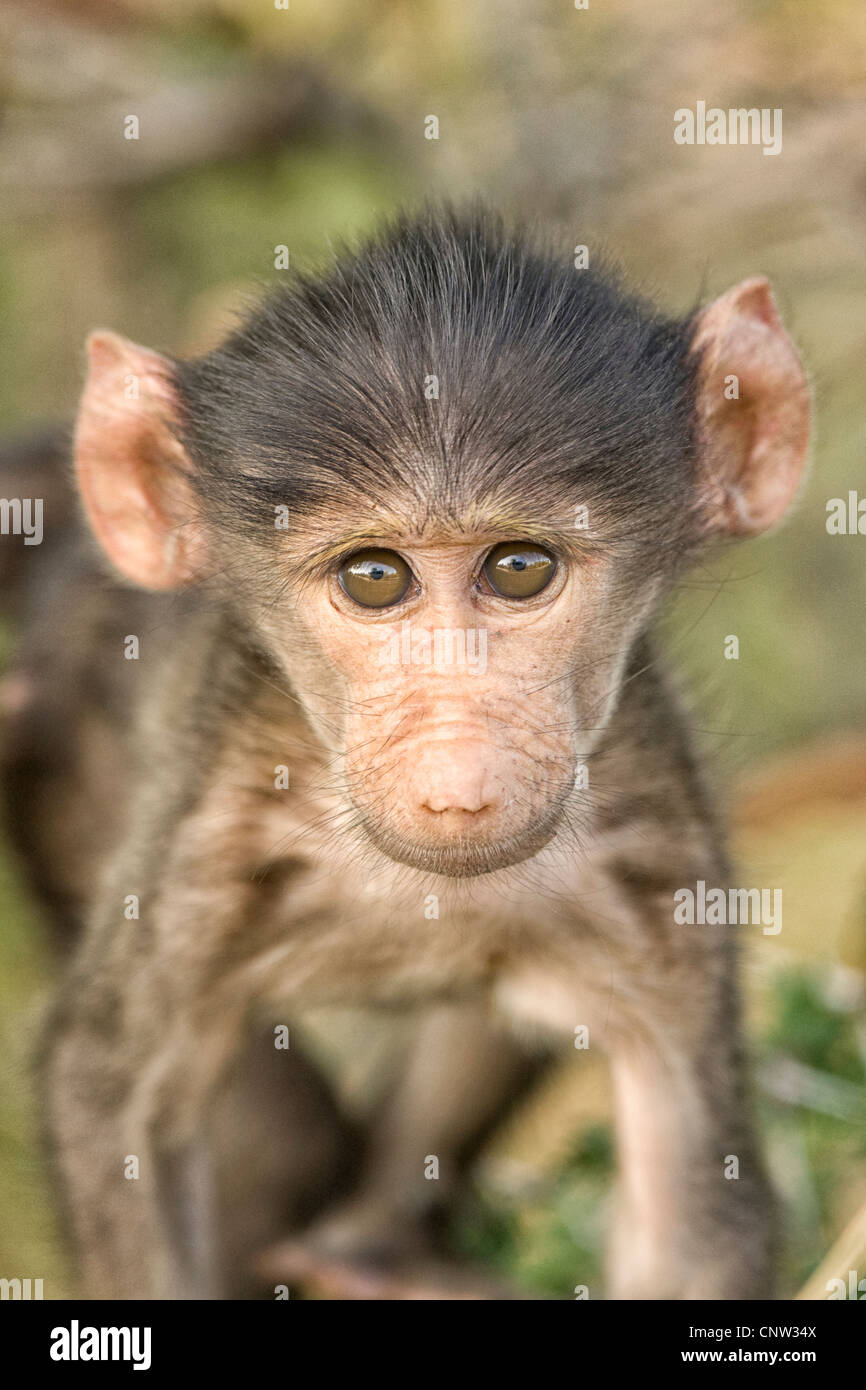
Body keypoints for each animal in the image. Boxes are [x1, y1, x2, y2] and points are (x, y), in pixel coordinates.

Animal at [12, 206, 809, 1300]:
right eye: (375, 578)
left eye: (518, 569)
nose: (455, 775)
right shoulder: (205, 836)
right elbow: (109, 1095)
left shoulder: (654, 843)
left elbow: (686, 1194)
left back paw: (374, 1249)